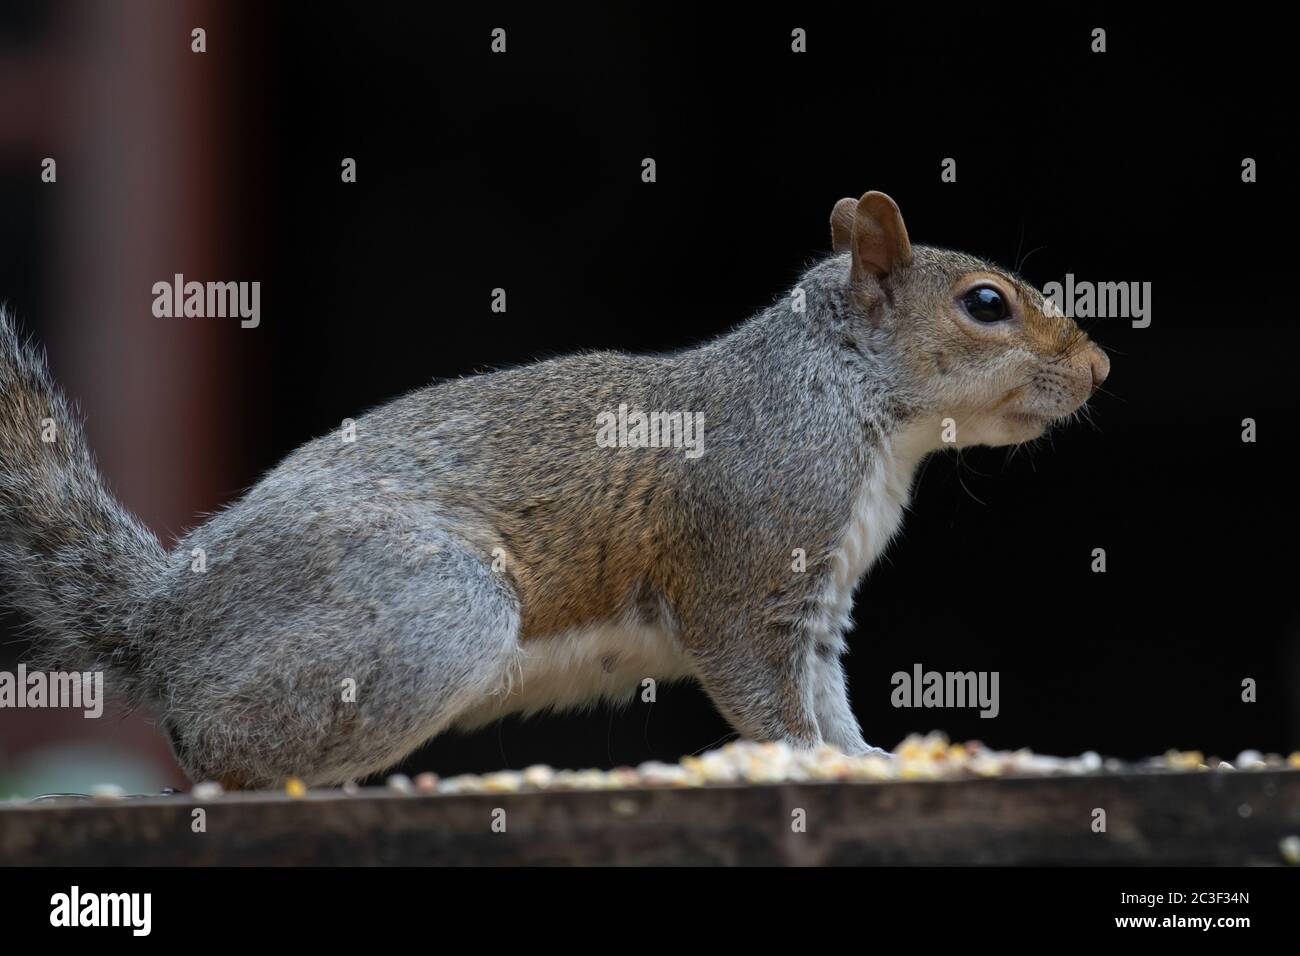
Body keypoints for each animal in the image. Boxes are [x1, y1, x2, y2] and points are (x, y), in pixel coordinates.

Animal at [0, 191, 1108, 788]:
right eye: (985, 304)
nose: (1098, 368)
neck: (857, 405)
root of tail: (165, 619)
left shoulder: (821, 597)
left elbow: (828, 697)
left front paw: (866, 758)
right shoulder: (750, 555)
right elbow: (764, 689)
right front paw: (806, 760)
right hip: (432, 608)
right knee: (222, 742)